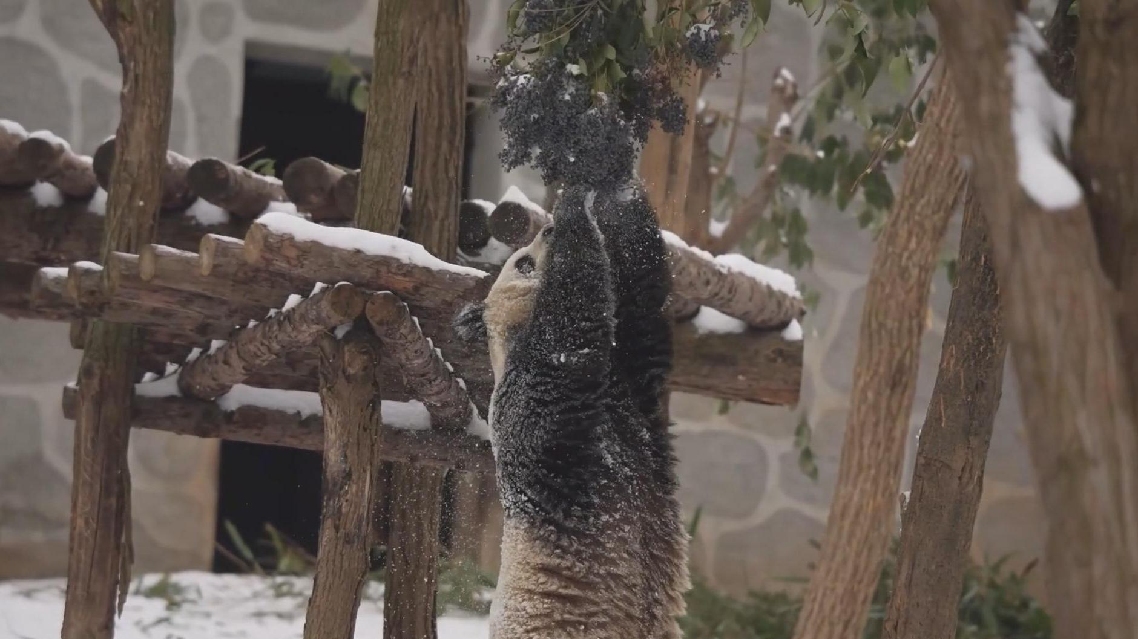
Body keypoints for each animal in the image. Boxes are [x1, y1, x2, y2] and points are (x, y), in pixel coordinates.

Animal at [453, 183, 689, 639]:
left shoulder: (637, 404)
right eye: (523, 263)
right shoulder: (530, 403)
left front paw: (613, 183)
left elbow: (643, 313)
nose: (546, 230)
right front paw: (574, 205)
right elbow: (570, 329)